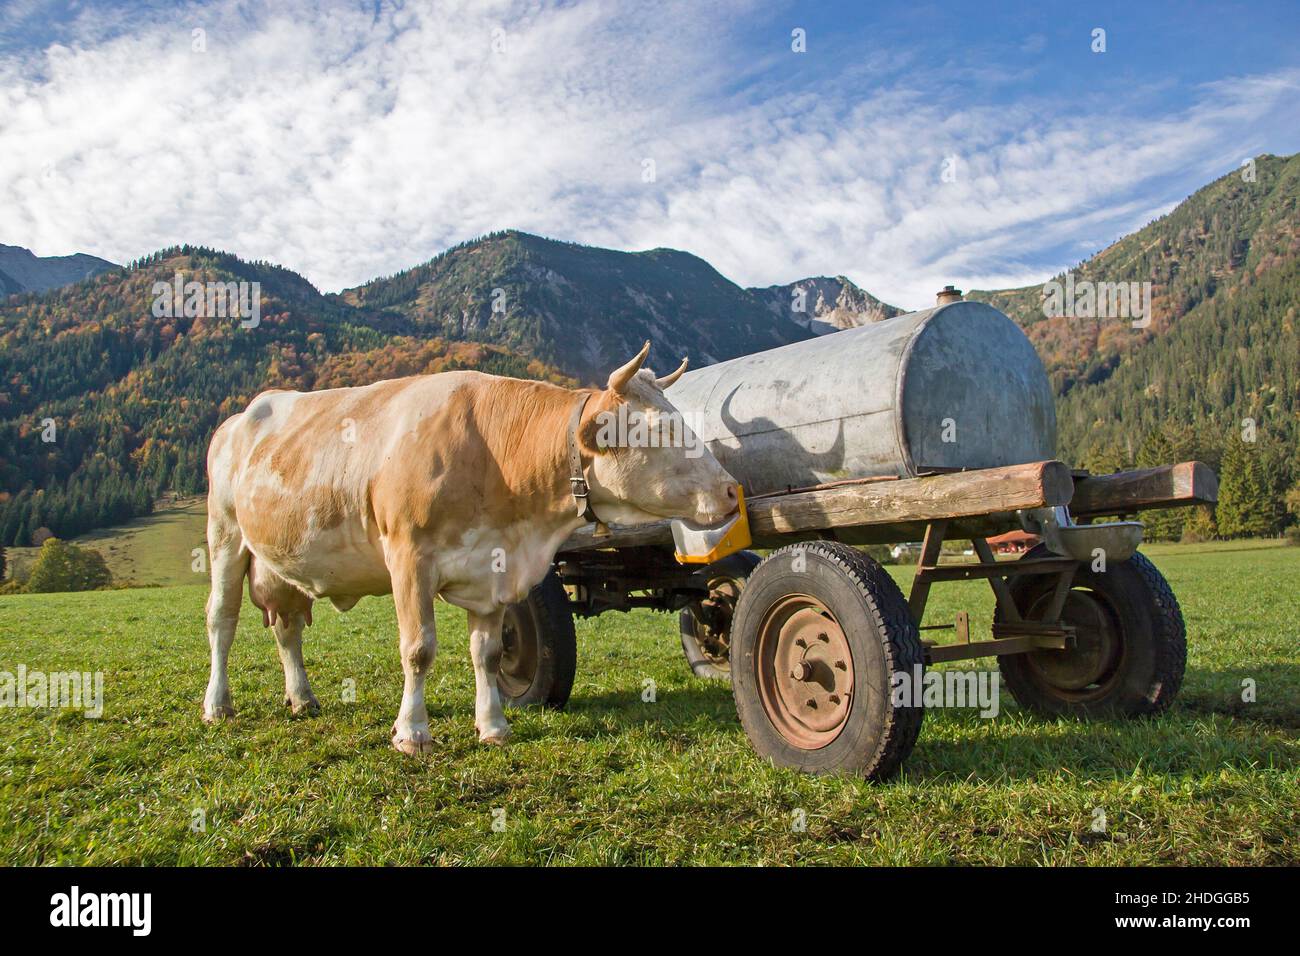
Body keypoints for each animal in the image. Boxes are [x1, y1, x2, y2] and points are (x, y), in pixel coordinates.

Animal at [201, 342, 738, 754]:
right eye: (660, 430)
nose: (733, 490)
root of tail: (247, 411)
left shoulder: (494, 569)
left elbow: (488, 653)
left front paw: (494, 726)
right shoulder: (409, 557)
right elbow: (418, 649)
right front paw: (412, 733)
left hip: (280, 560)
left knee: (288, 627)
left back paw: (302, 697)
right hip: (225, 534)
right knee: (222, 620)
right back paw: (217, 704)